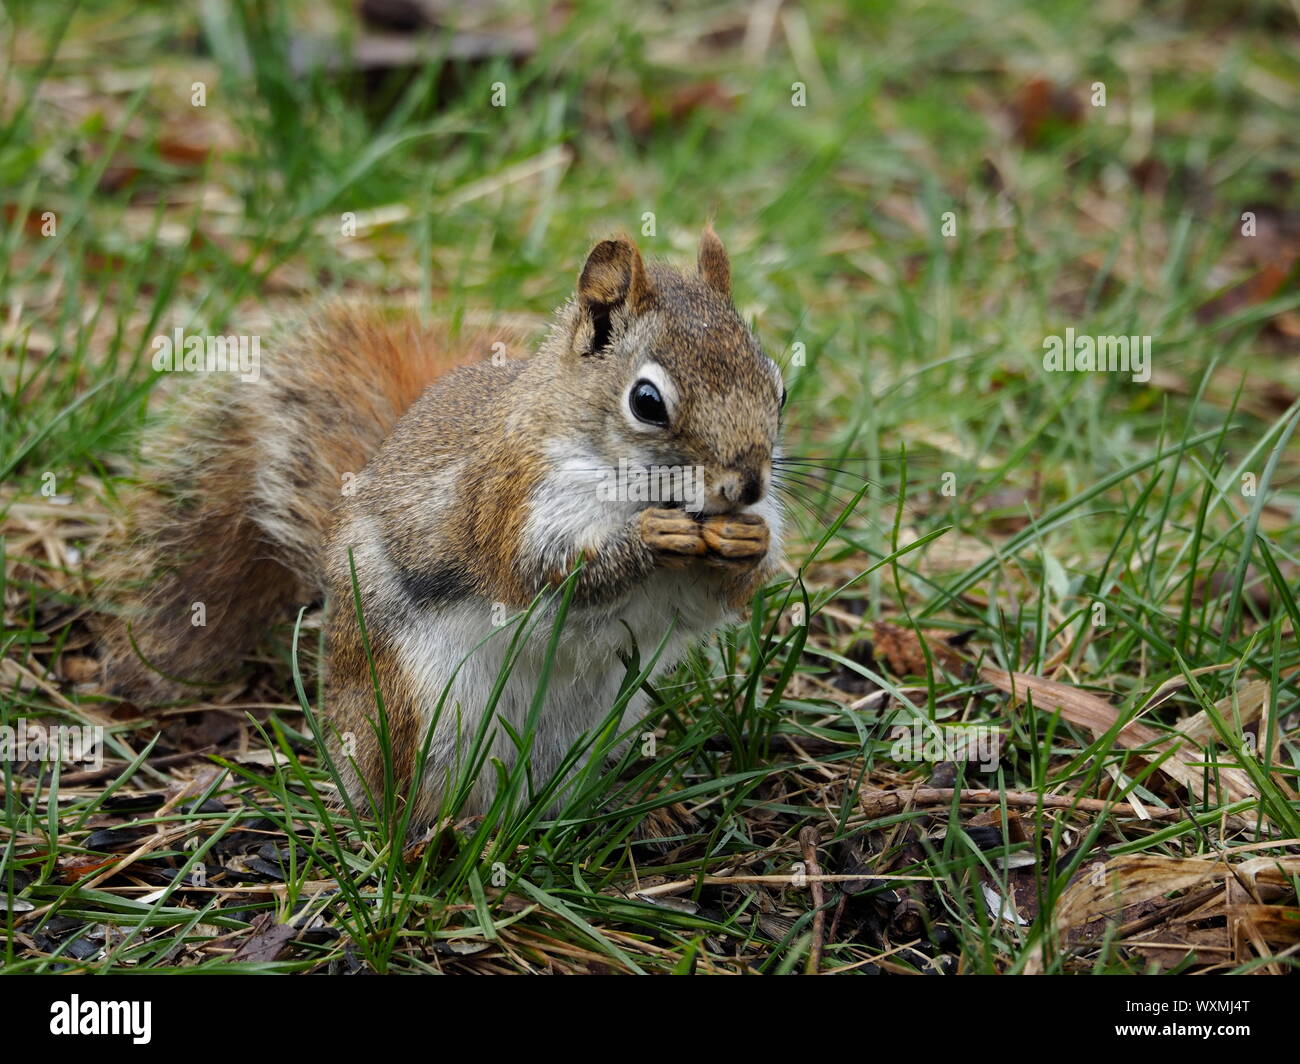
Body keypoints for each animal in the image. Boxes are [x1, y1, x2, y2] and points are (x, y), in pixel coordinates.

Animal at [99, 228, 786, 825]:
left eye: (778, 389)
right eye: (647, 403)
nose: (747, 487)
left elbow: (710, 603)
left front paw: (749, 545)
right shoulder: (507, 501)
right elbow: (544, 577)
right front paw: (648, 541)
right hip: (416, 706)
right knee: (410, 790)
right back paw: (442, 828)